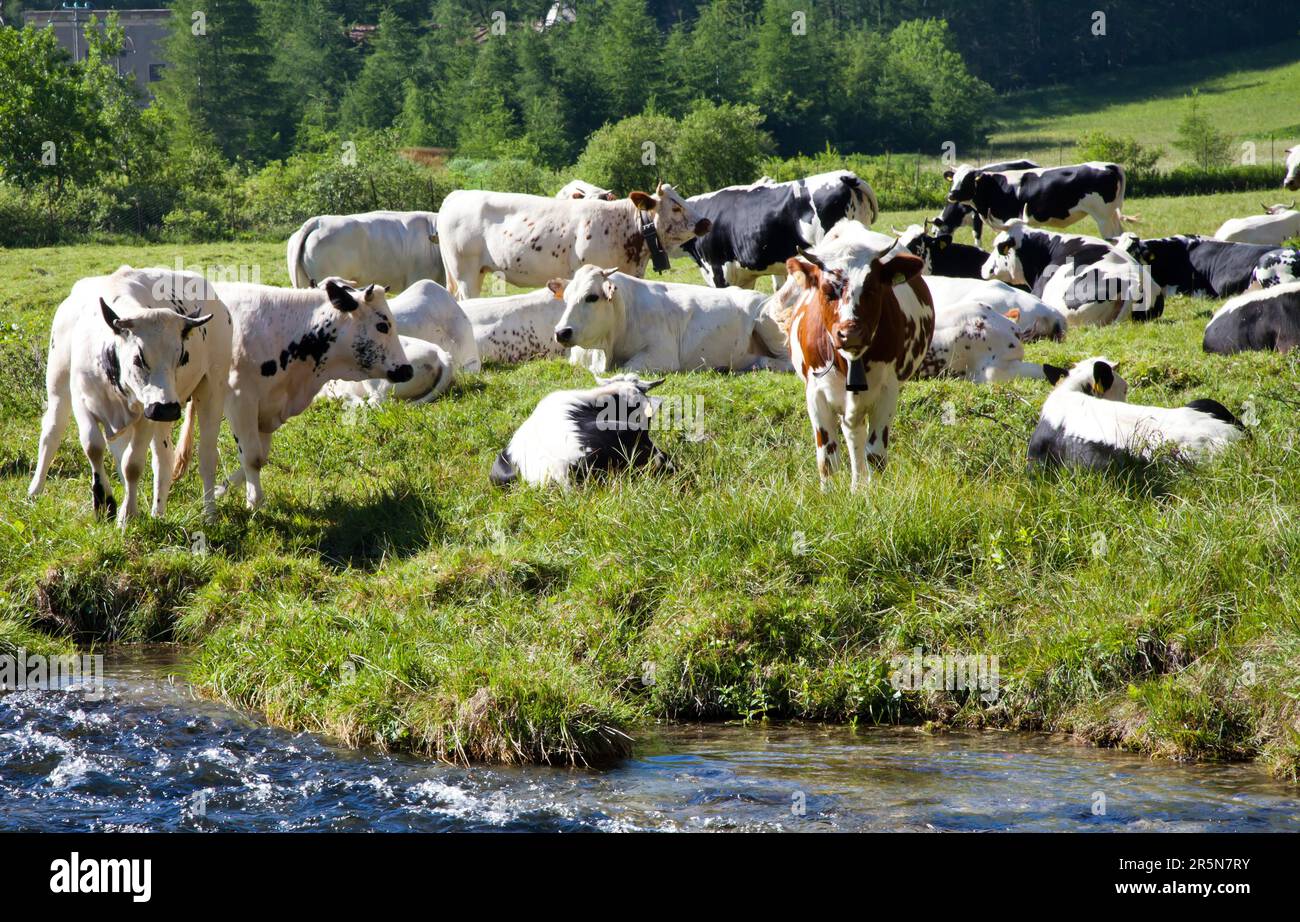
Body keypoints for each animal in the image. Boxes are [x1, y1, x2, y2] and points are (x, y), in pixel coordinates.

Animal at [28, 266, 232, 526]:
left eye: (180, 357)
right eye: (139, 358)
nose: (167, 409)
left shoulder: (147, 414)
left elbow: (132, 464)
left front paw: (127, 514)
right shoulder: (82, 402)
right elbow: (94, 447)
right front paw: (104, 502)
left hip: (209, 391)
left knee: (202, 456)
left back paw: (206, 514)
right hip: (58, 387)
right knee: (52, 432)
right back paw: (35, 490)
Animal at [189, 280, 412, 509]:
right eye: (383, 325)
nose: (407, 370)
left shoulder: (268, 407)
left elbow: (261, 455)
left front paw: (220, 490)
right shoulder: (240, 400)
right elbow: (252, 456)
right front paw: (254, 502)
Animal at [551, 265, 791, 373]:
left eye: (591, 297)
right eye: (566, 298)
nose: (562, 332)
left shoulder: (662, 355)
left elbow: (627, 369)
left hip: (767, 324)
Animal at [782, 221, 934, 490]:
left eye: (872, 289)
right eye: (827, 291)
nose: (850, 333)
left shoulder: (887, 391)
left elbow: (875, 453)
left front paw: (876, 493)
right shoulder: (815, 394)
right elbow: (827, 457)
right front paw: (828, 495)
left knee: (857, 436)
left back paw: (859, 486)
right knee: (852, 434)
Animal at [944, 161, 1131, 238]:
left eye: (968, 179)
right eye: (954, 179)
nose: (951, 195)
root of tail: (1110, 165)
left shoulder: (1008, 219)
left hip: (1102, 217)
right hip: (1112, 214)